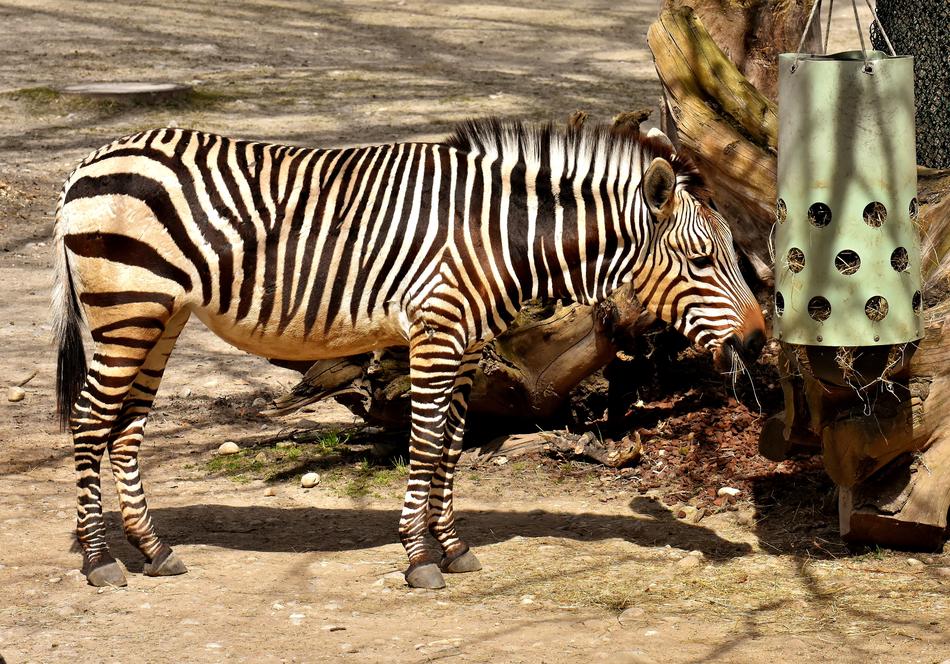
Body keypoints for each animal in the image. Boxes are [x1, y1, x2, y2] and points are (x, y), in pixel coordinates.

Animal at [53, 119, 766, 590]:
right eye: (703, 262)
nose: (759, 342)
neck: (498, 233)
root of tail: (92, 158)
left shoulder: (469, 344)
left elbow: (450, 442)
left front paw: (451, 548)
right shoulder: (436, 330)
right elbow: (424, 444)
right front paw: (419, 558)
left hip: (160, 315)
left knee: (127, 430)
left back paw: (154, 550)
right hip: (127, 306)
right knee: (91, 422)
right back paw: (99, 561)